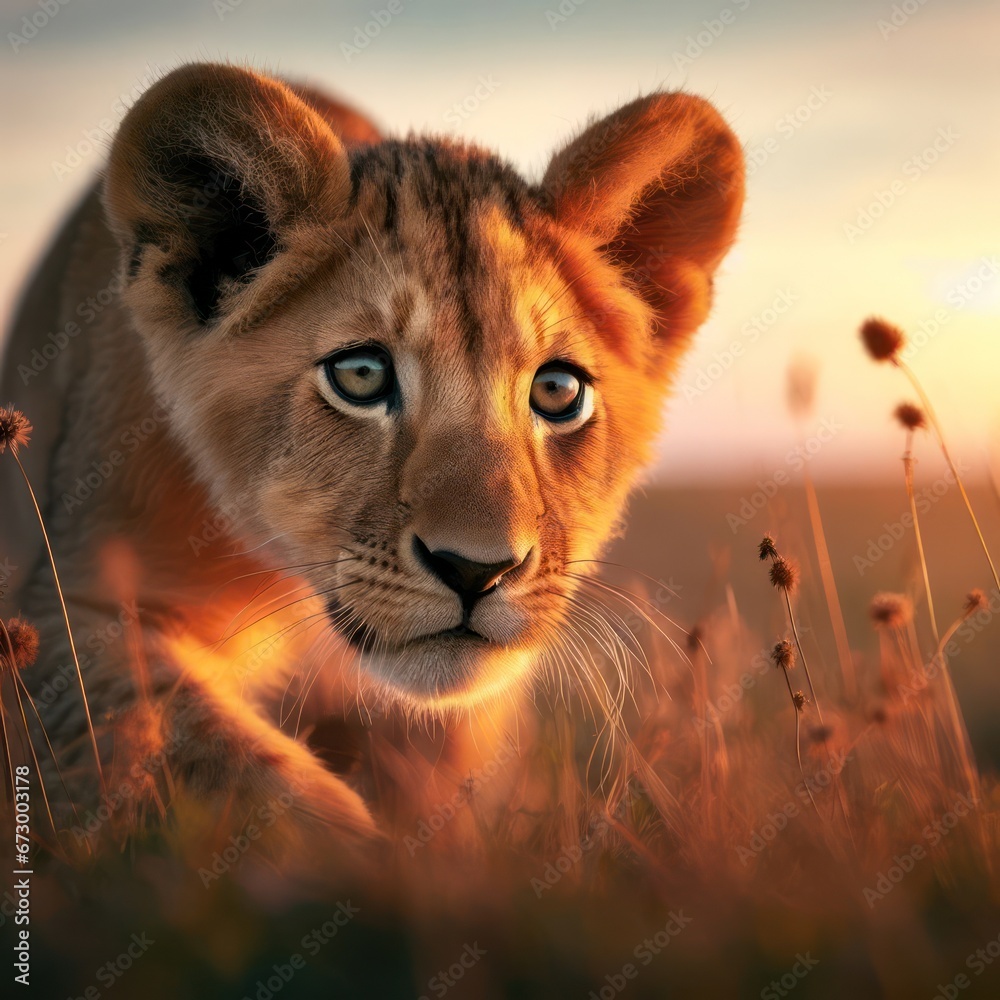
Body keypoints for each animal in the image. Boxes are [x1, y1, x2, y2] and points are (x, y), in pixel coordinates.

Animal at [0, 63, 743, 859]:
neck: (288, 582)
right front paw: (358, 871)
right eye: (360, 375)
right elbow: (220, 758)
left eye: (557, 390)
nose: (476, 571)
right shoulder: (71, 616)